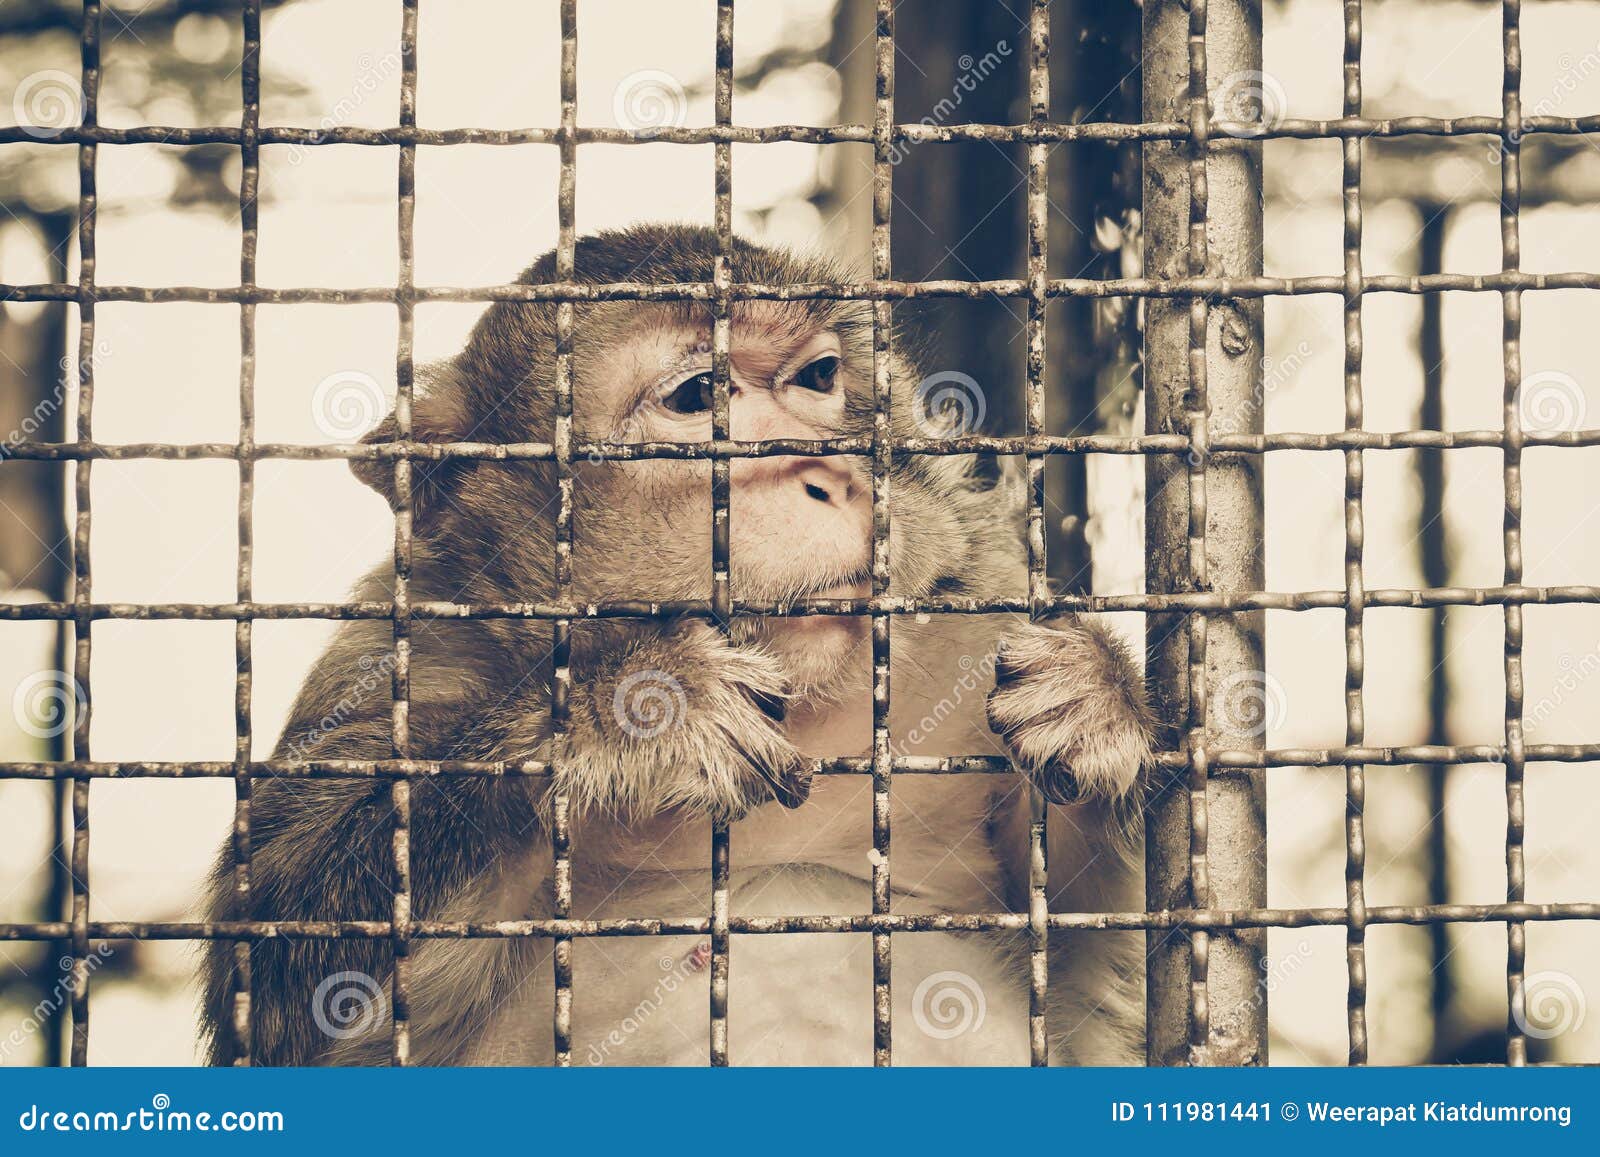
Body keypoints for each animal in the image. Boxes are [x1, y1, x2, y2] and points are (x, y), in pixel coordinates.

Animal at [199, 223, 1156, 1067]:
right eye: (698, 395)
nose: (834, 473)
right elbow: (299, 981)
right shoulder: (392, 659)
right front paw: (641, 709)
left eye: (818, 376)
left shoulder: (970, 611)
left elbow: (1102, 953)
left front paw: (1094, 691)